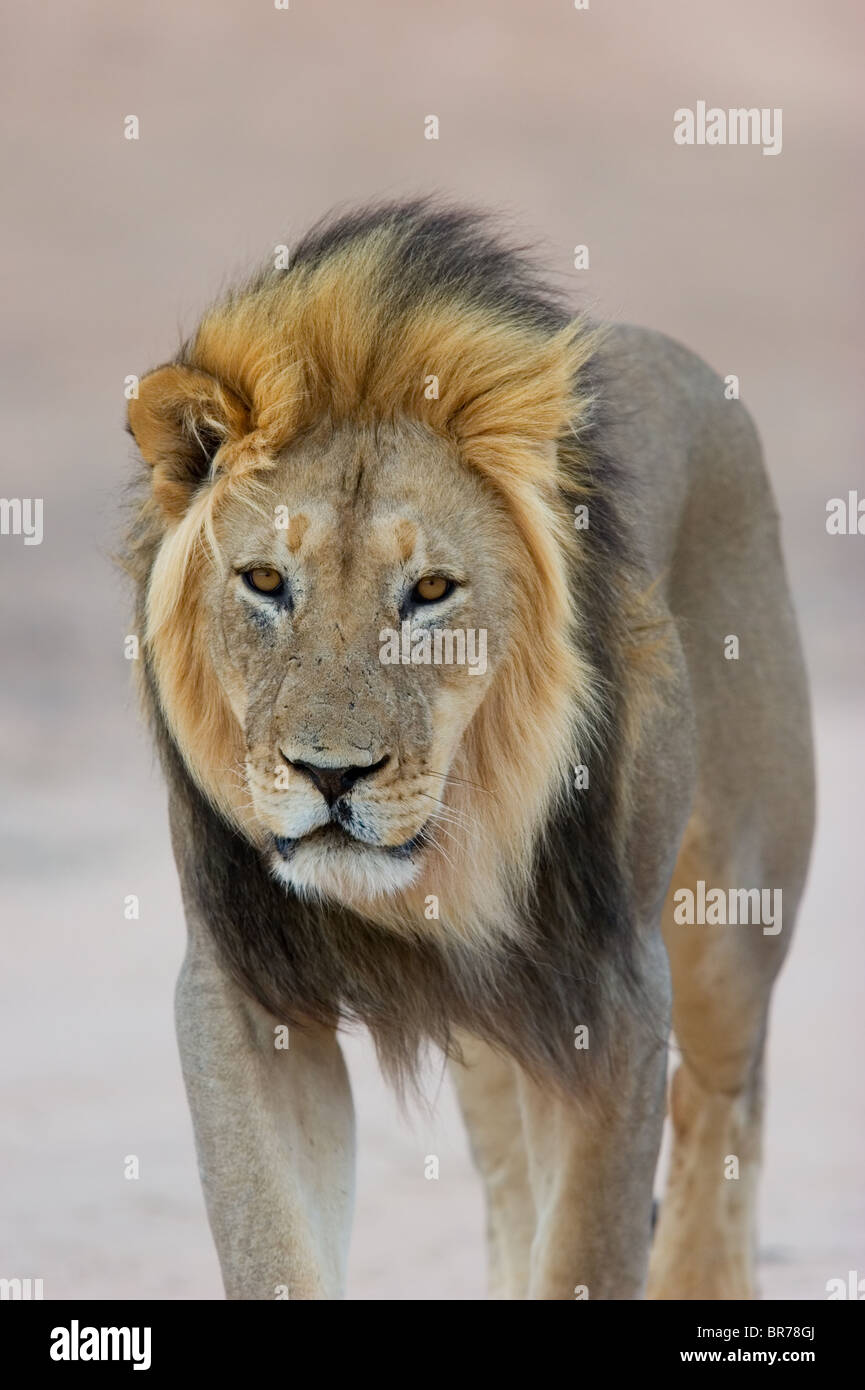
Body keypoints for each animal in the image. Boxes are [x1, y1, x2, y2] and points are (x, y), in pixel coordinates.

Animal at [124, 199, 814, 1300]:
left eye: (432, 593)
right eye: (266, 581)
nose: (329, 773)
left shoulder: (612, 991)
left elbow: (587, 1250)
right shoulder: (241, 986)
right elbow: (274, 1241)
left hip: (729, 922)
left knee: (721, 1113)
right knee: (514, 1179)